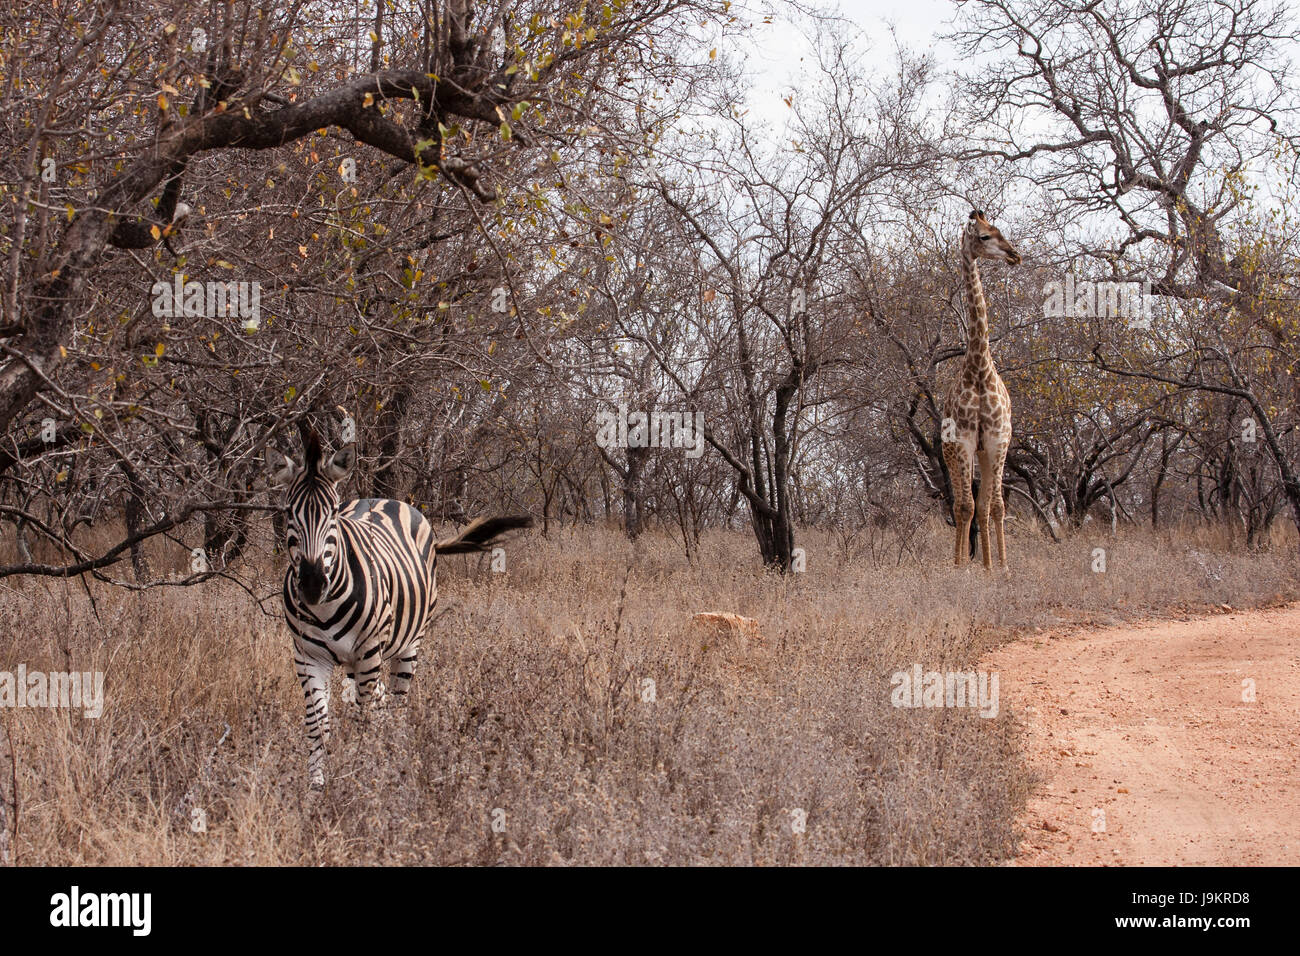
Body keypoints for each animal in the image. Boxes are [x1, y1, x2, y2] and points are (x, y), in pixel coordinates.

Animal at [265, 430, 531, 787]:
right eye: (288, 513)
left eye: (332, 514)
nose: (311, 584)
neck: (324, 607)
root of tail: (385, 498)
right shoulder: (307, 657)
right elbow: (317, 726)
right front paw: (317, 789)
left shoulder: (367, 652)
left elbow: (366, 718)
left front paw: (364, 780)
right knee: (377, 700)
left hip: (405, 647)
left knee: (395, 704)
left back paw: (394, 752)